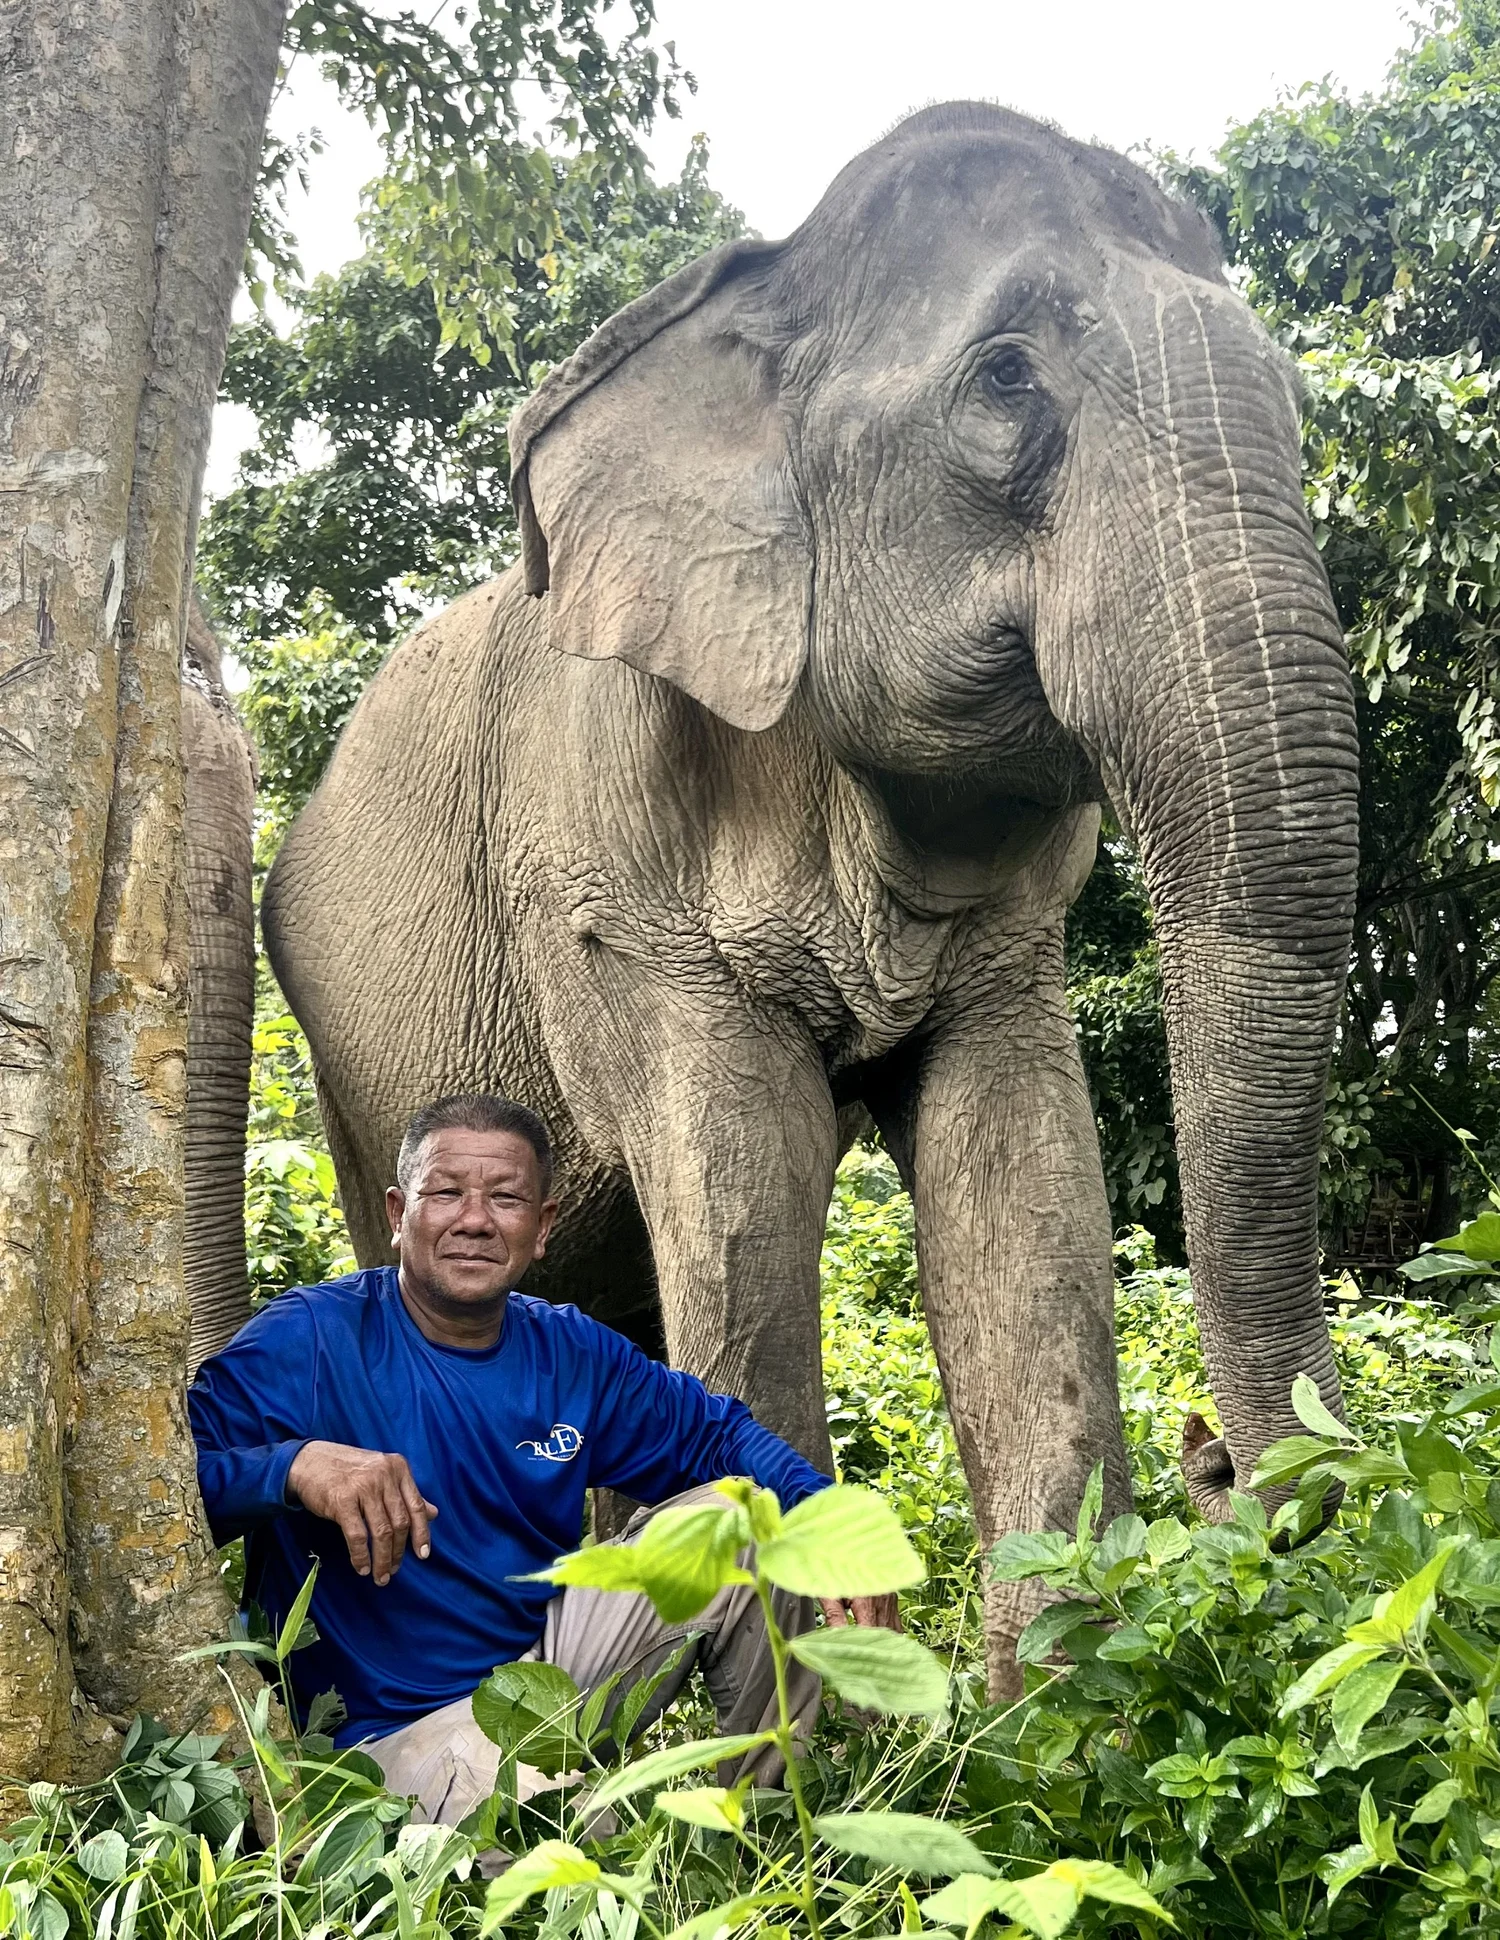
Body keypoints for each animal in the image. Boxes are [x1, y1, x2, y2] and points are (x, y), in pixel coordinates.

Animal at [256, 101, 1359, 1687]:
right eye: (1005, 378)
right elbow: (743, 1210)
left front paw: (1050, 1723)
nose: (1225, 1472)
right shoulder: (608, 867)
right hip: (344, 1056)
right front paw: (799, 1729)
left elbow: (1026, 1198)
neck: (758, 282)